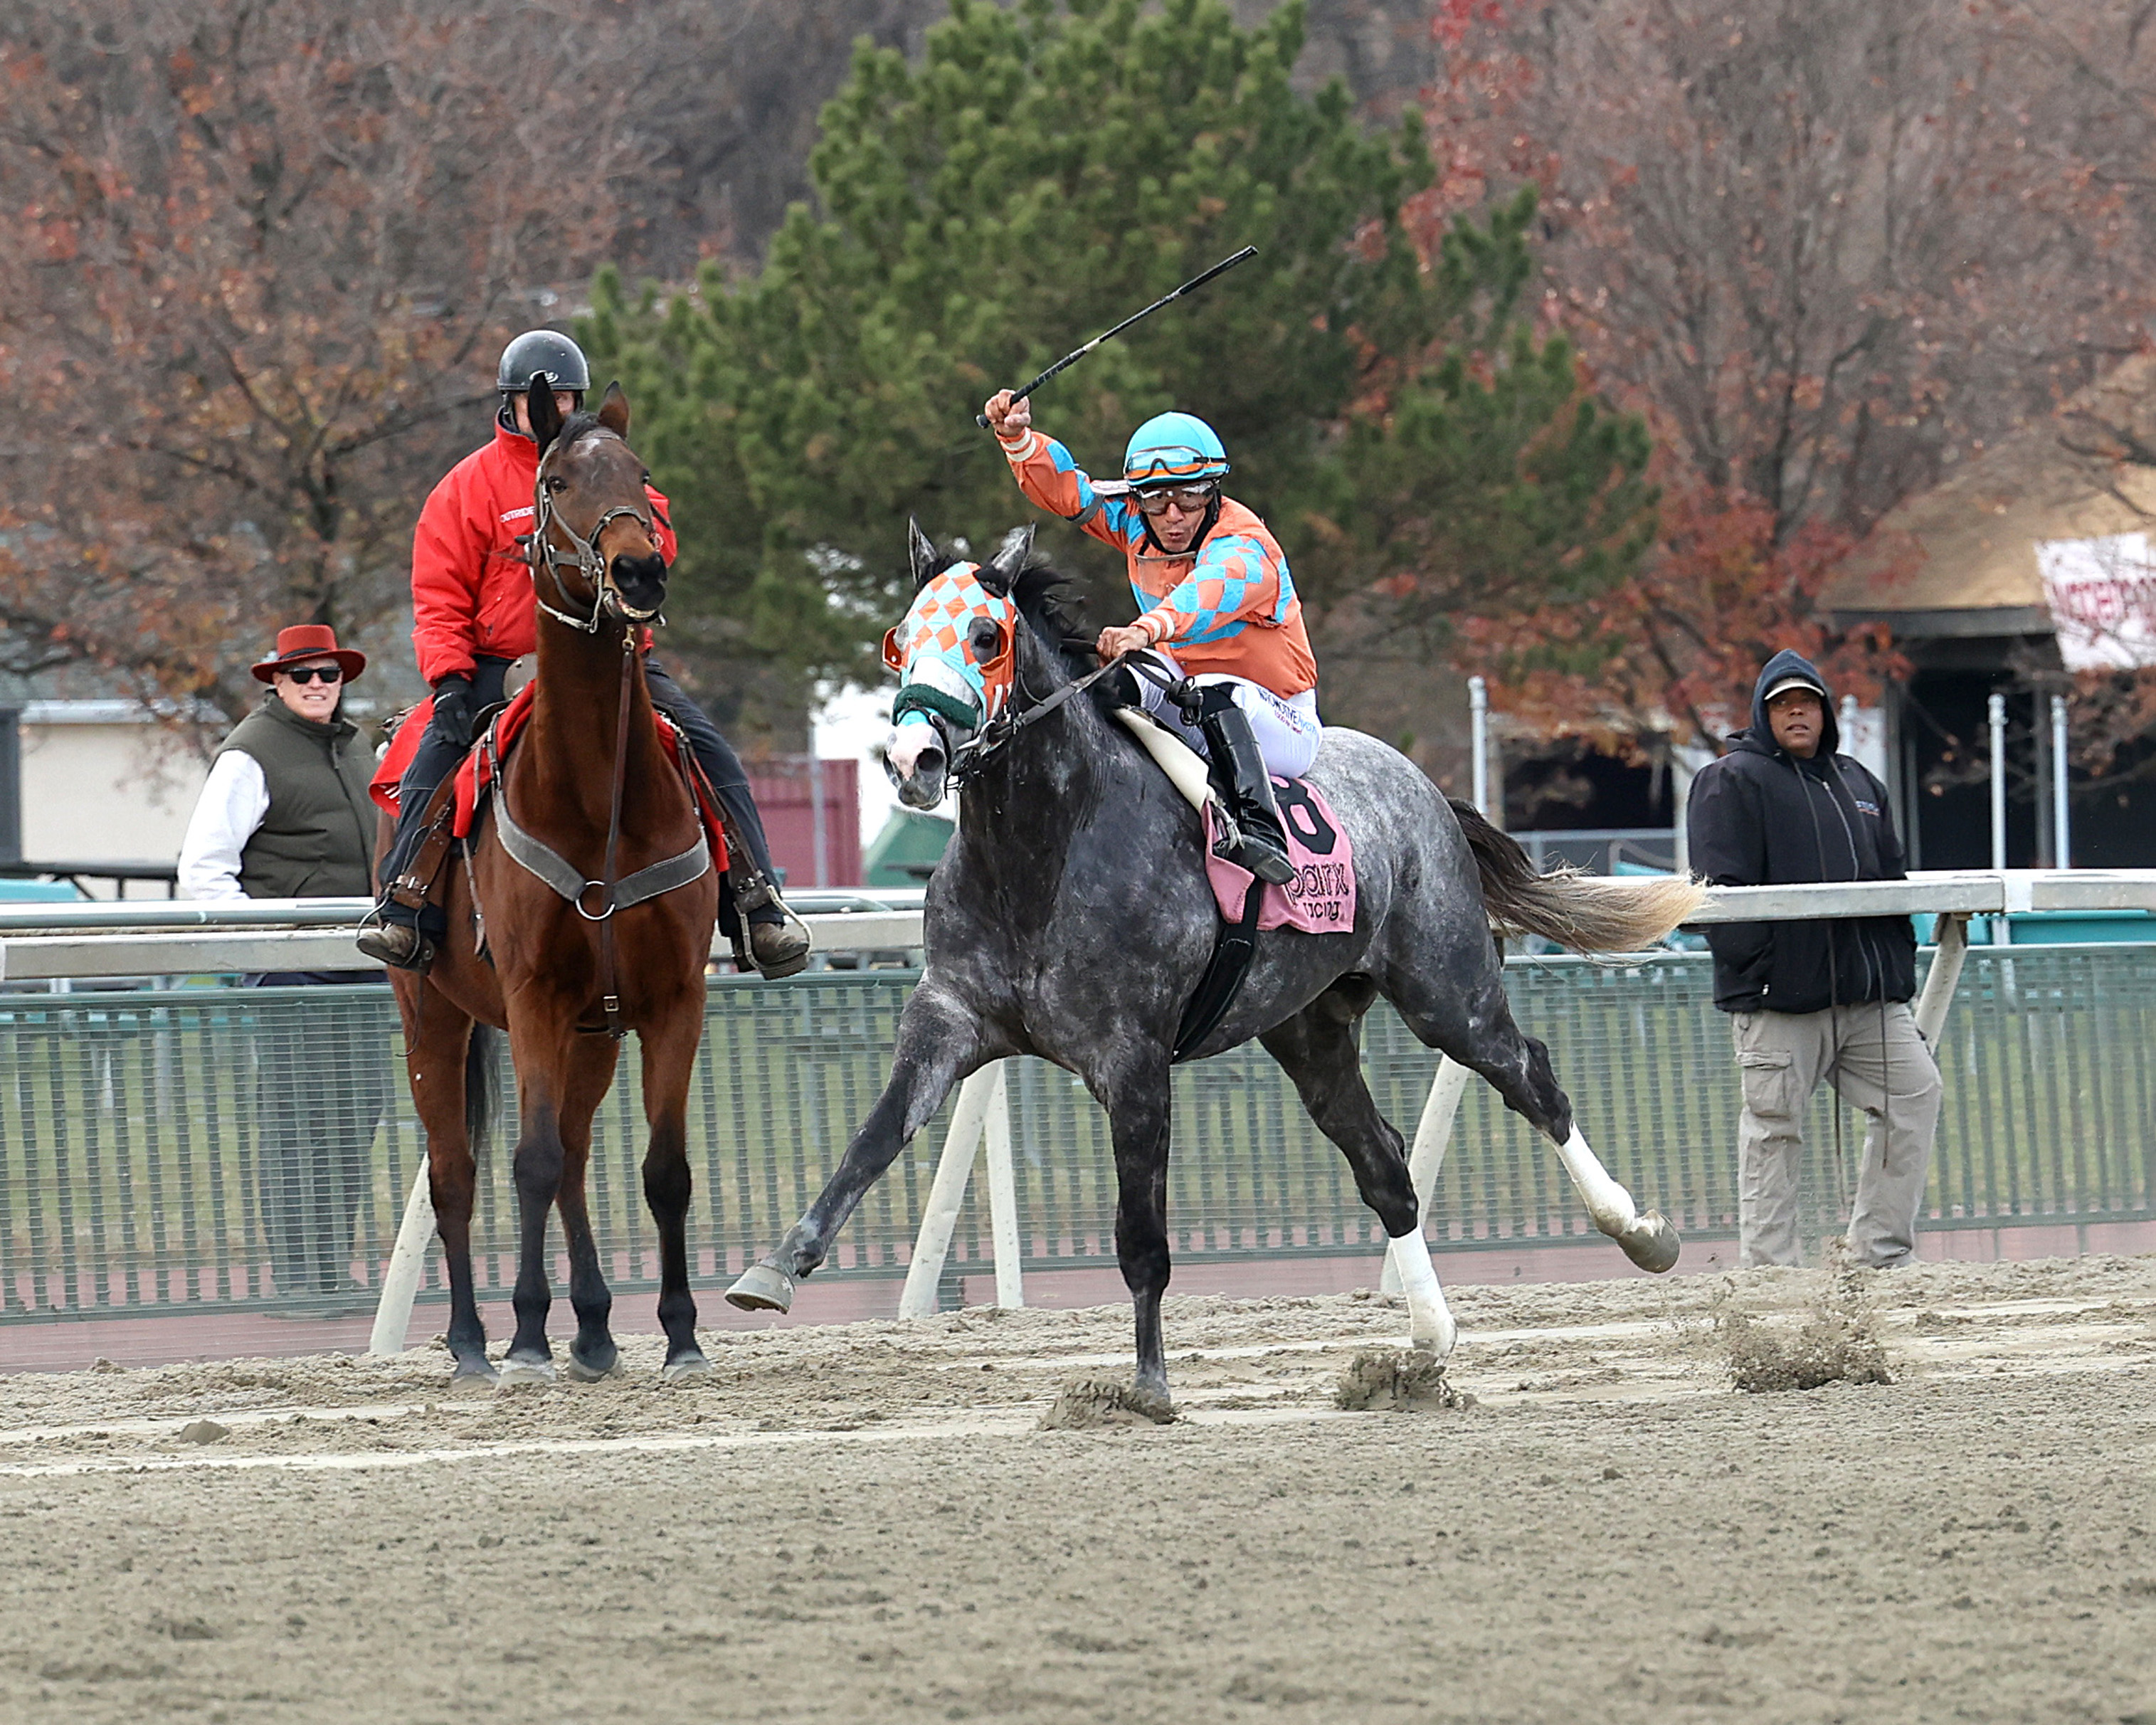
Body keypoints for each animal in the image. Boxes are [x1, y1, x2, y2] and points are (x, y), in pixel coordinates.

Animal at [380, 380, 721, 1387]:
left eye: (642, 476)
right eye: (558, 480)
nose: (639, 572)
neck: (596, 793)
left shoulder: (671, 998)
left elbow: (662, 1171)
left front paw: (680, 1335)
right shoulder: (531, 997)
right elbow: (523, 1162)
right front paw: (527, 1334)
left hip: (594, 1033)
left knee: (572, 1158)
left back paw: (599, 1329)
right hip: (432, 1018)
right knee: (457, 1174)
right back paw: (470, 1341)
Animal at [726, 522, 1704, 1406]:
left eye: (986, 636)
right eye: (899, 637)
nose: (913, 757)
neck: (1041, 854)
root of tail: (1426, 787)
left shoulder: (1132, 1061)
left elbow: (1142, 1237)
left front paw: (1149, 1384)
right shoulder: (951, 1018)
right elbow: (872, 1139)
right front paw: (775, 1269)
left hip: (1446, 988)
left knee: (1530, 1078)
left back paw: (1638, 1231)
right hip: (1308, 1030)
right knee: (1384, 1164)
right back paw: (1426, 1345)